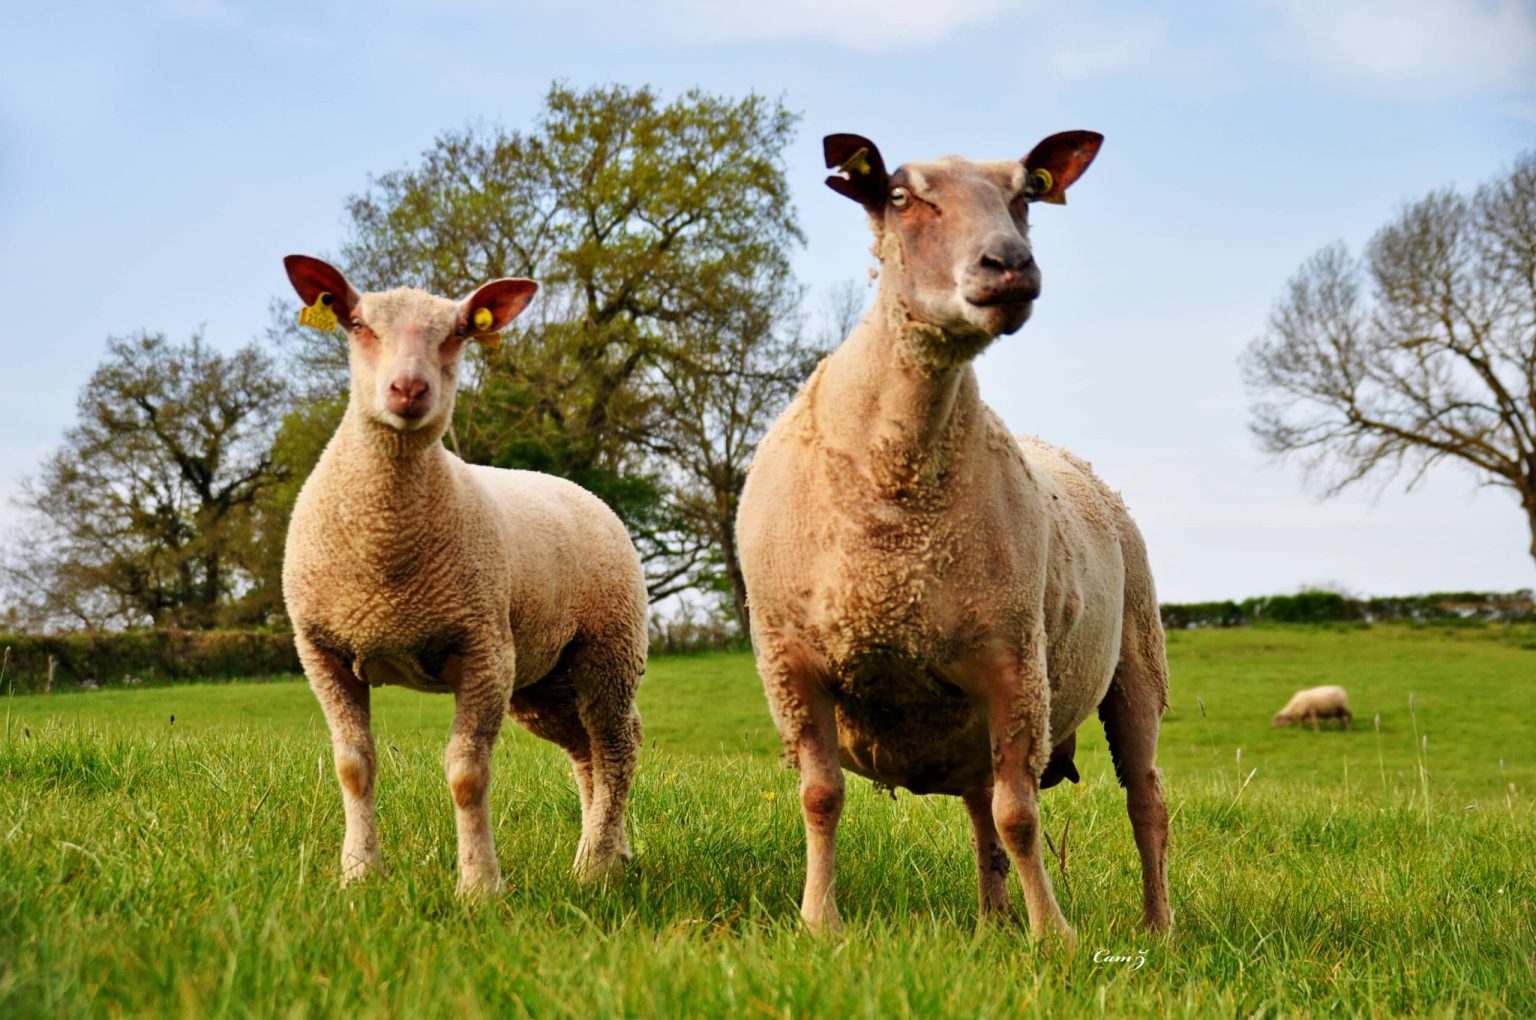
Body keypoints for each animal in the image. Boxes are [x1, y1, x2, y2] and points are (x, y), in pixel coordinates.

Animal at [280, 255, 647, 896]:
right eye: (357, 324)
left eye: (457, 332)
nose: (408, 390)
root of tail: (583, 491)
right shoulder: (322, 650)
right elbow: (353, 767)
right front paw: (360, 875)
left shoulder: (483, 651)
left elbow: (467, 774)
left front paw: (479, 887)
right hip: (543, 678)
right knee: (587, 753)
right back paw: (609, 851)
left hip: (609, 647)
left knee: (617, 747)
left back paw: (594, 867)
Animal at [735, 131, 1171, 941]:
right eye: (900, 196)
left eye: (1025, 196)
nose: (1010, 265)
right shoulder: (792, 662)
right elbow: (821, 798)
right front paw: (819, 922)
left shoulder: (1013, 663)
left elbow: (1020, 815)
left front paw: (1054, 936)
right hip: (971, 716)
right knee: (979, 809)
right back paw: (993, 919)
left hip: (1135, 665)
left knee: (1144, 802)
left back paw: (1157, 926)